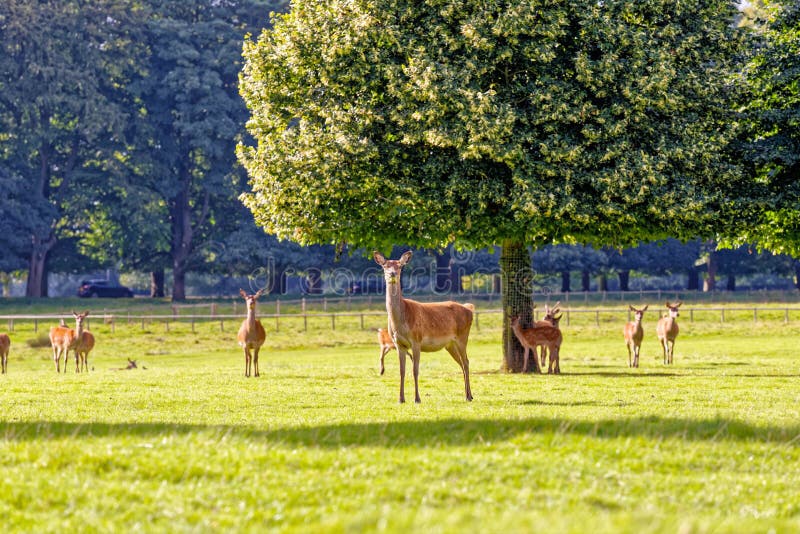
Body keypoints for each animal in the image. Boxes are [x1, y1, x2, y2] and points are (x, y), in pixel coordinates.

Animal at [374, 251, 474, 403]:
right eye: (385, 266)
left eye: (400, 266)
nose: (392, 274)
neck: (401, 323)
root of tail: (469, 309)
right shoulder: (398, 344)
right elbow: (401, 371)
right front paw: (401, 399)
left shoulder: (417, 340)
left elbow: (415, 370)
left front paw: (417, 398)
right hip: (450, 344)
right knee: (462, 363)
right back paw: (468, 395)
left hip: (463, 336)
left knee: (467, 362)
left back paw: (468, 396)